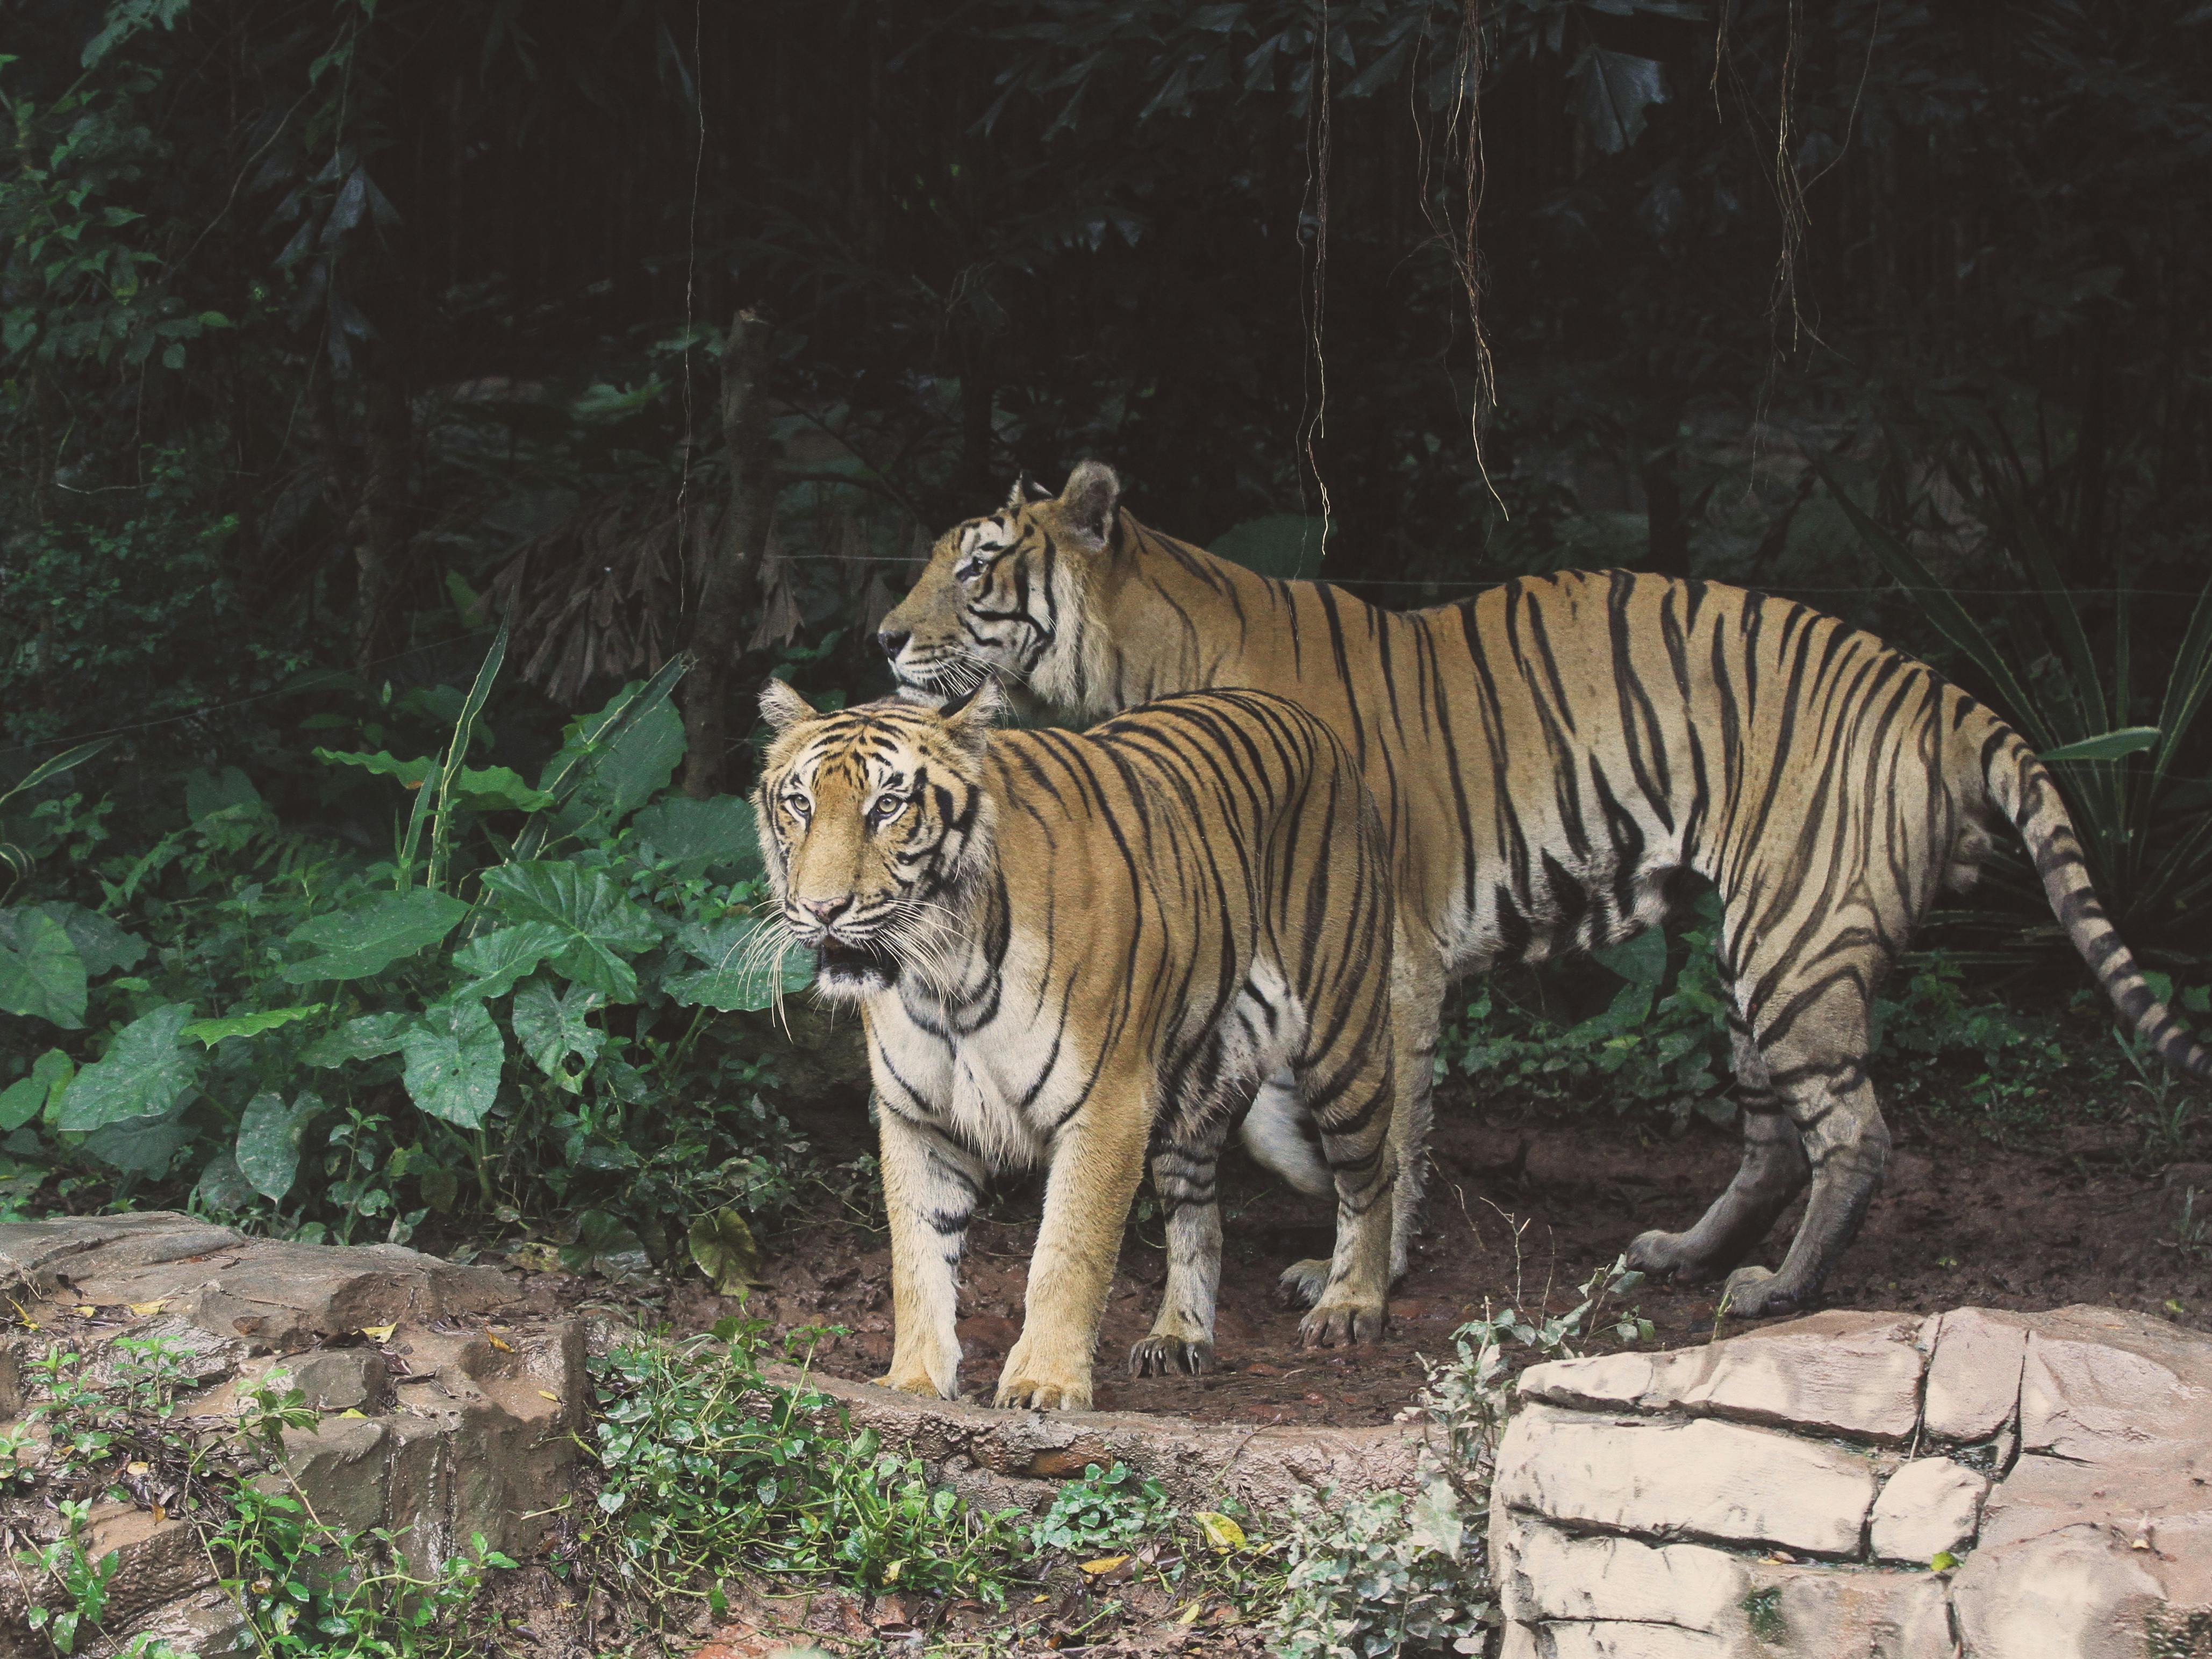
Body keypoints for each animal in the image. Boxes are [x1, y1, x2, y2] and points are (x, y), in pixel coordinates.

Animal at [750, 677, 1403, 1411]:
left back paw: (1349, 1303)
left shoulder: (1108, 1105)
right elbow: (918, 1255)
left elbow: (1068, 1252)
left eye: (887, 806)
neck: (941, 973)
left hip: (1343, 1038)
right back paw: (1179, 1335)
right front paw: (914, 1379)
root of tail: (1292, 710)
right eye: (800, 804)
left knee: (1373, 1171)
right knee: (1197, 1213)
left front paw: (1043, 1380)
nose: (822, 909)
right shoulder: (918, 1117)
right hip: (1191, 1083)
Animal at [875, 461, 2212, 1319]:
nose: (885, 638)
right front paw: (1327, 1205)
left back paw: (1776, 1289)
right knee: (1771, 1132)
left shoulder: (1379, 954)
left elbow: (1383, 1116)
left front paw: (1362, 1264)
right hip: (1749, 958)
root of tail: (1938, 691)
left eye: (977, 568)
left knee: (1853, 1135)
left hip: (1792, 943)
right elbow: (1276, 1116)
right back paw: (1679, 1252)